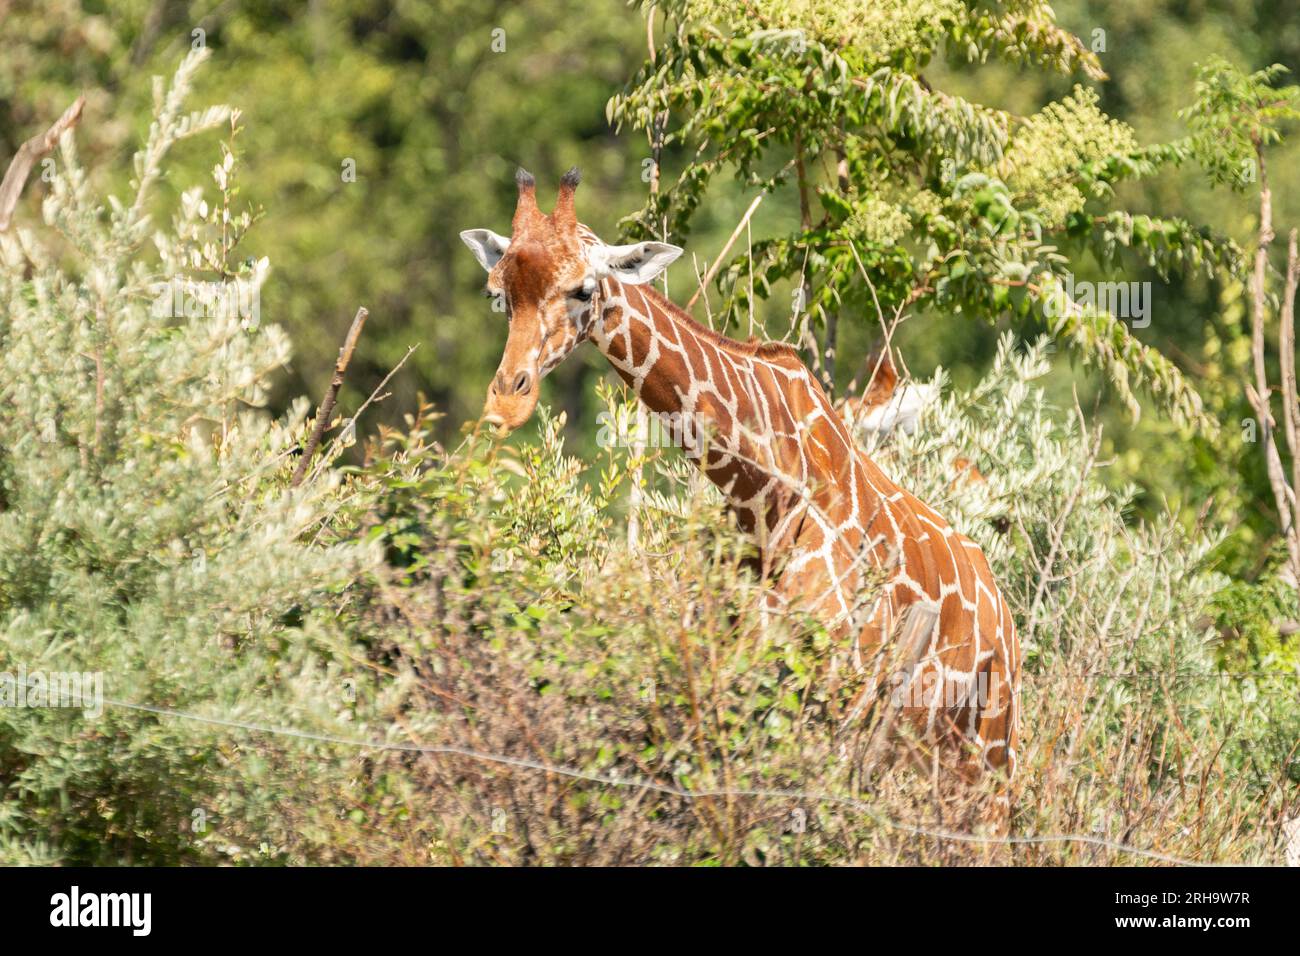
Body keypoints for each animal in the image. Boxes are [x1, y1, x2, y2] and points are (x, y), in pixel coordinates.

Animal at [460, 168, 1020, 781]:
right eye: (497, 294)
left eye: (584, 289)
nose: (507, 402)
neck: (761, 496)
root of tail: (1006, 614)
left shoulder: (838, 686)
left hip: (991, 749)